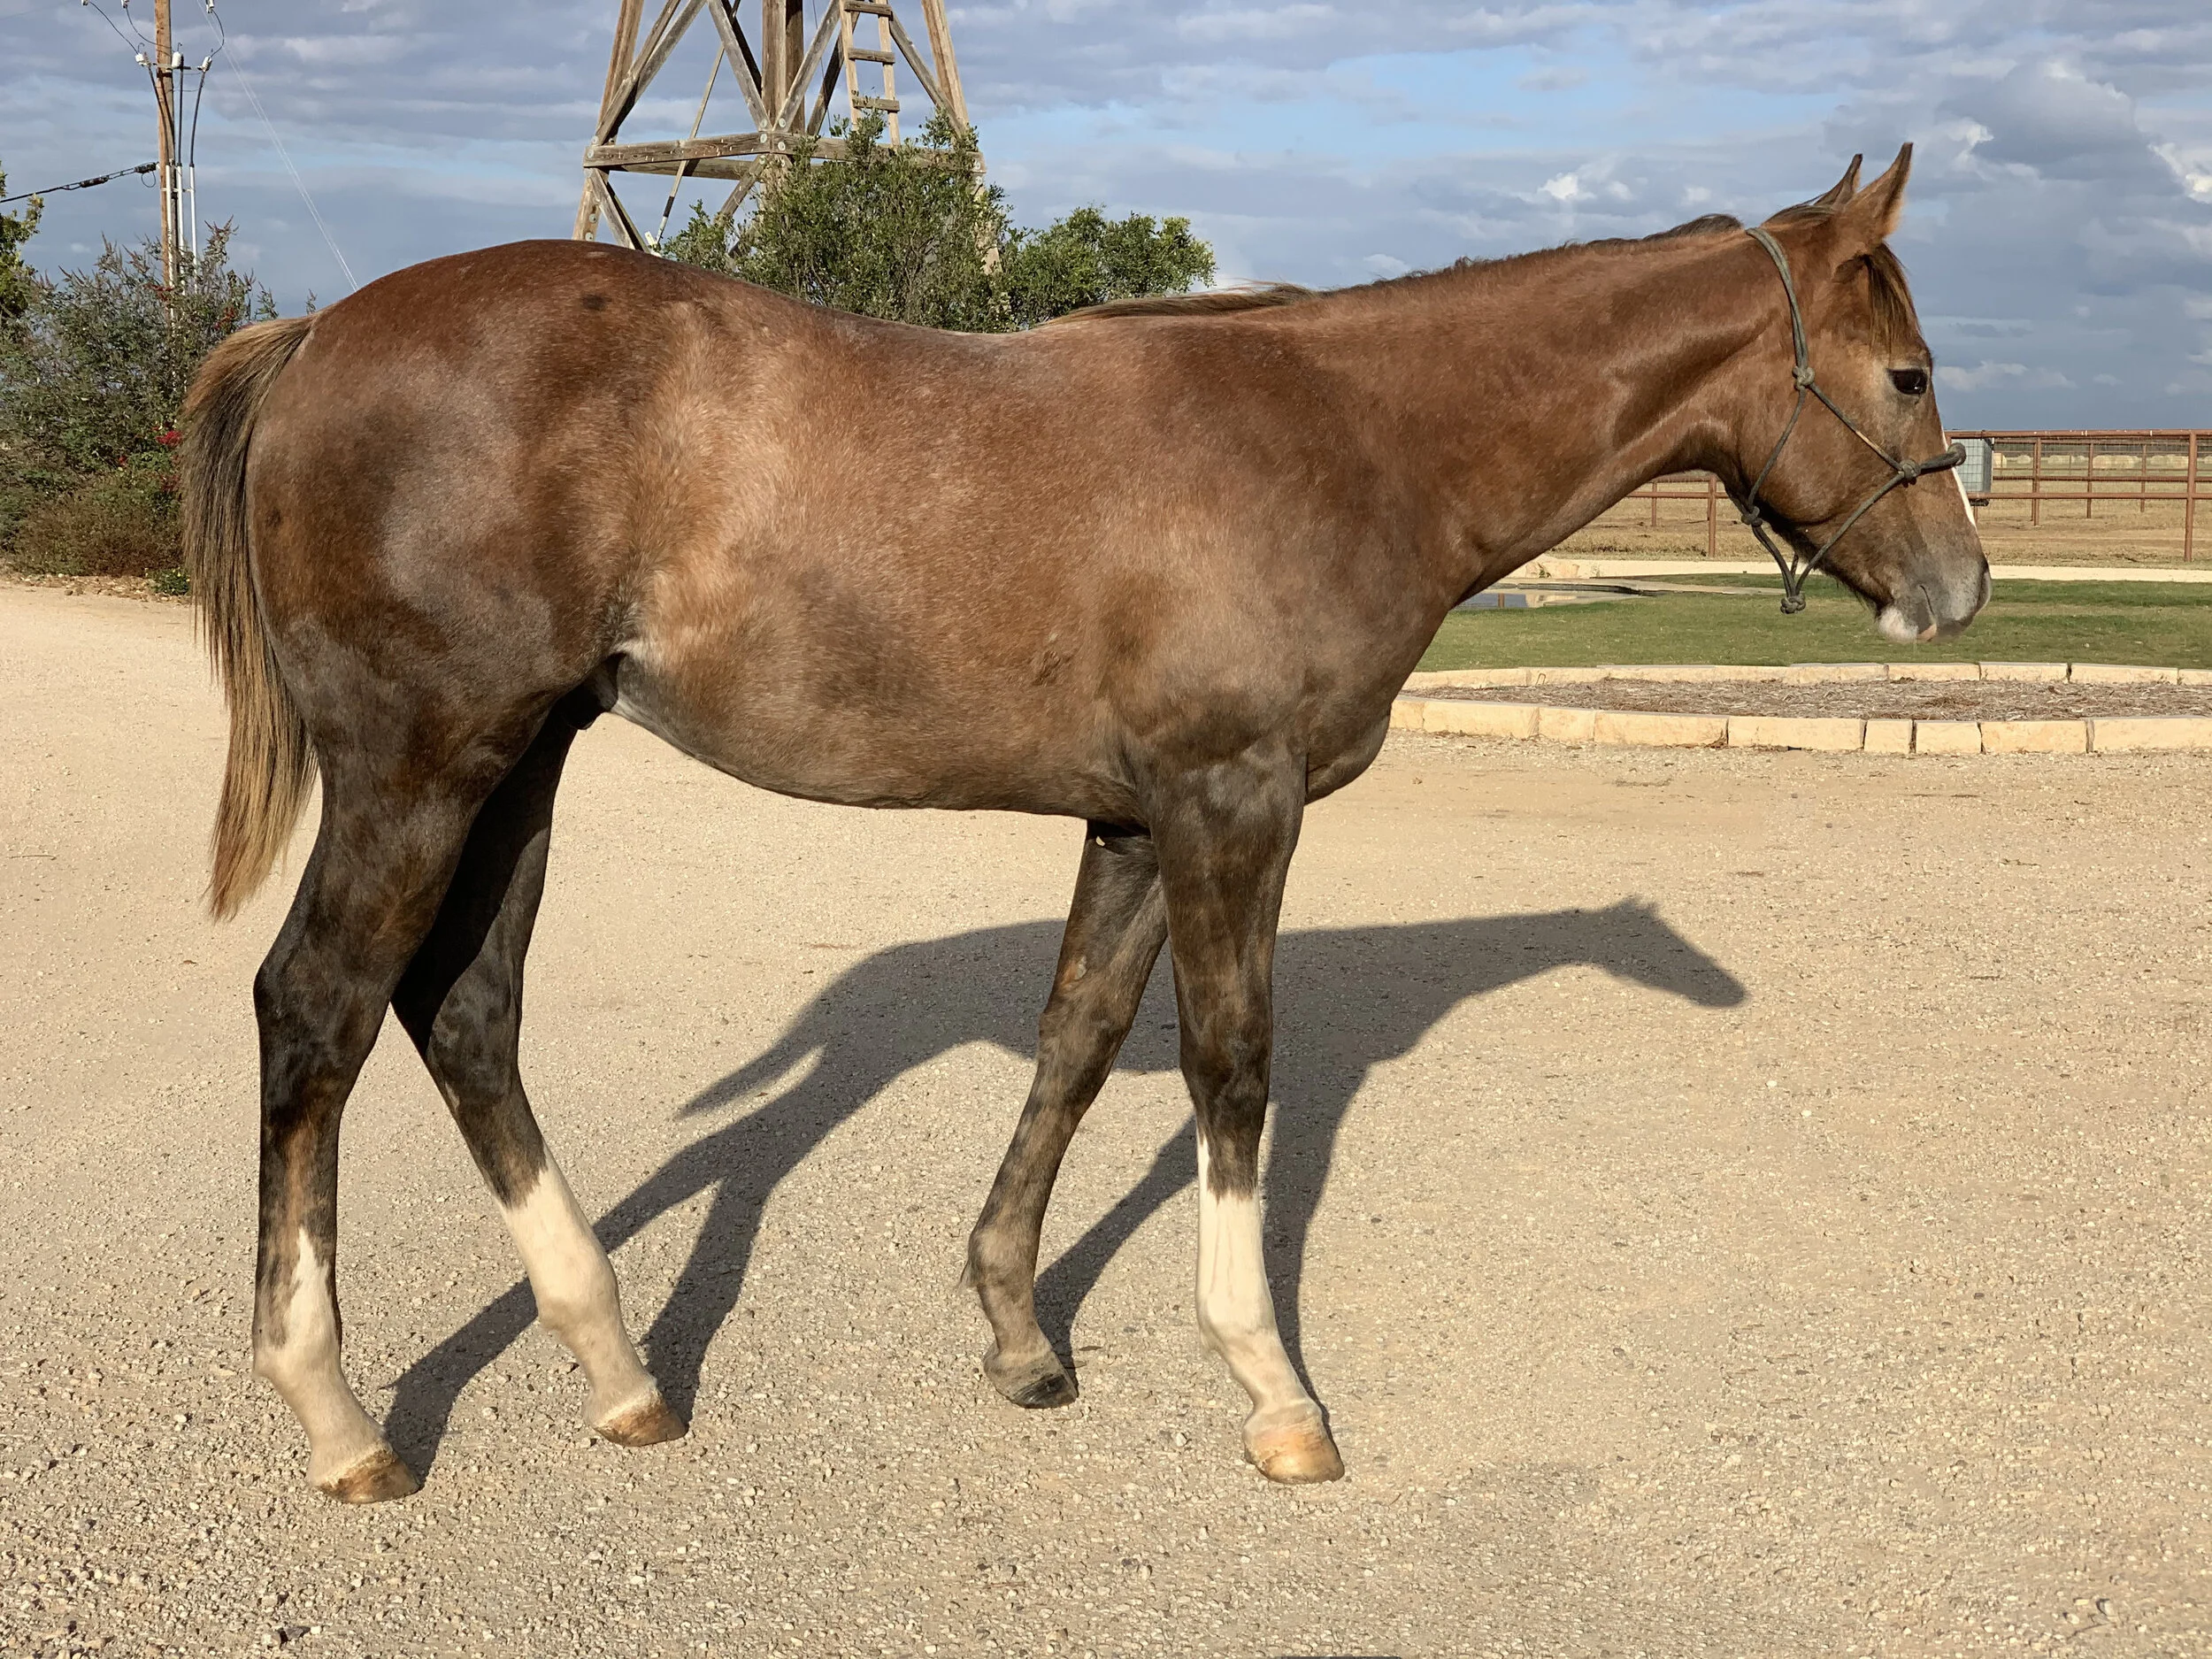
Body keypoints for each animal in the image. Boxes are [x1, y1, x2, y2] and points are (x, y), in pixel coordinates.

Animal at [180, 144, 1984, 1503]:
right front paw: (1272, 1389)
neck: (1355, 436)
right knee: (318, 1010)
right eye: (1905, 372)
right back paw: (337, 1415)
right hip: (425, 762)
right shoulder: (1230, 802)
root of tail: (315, 333)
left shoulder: (1130, 822)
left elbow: (1079, 1040)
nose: (1961, 591)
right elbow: (1232, 1065)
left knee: (463, 1010)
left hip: (523, 758)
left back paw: (619, 1366)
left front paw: (1018, 1332)